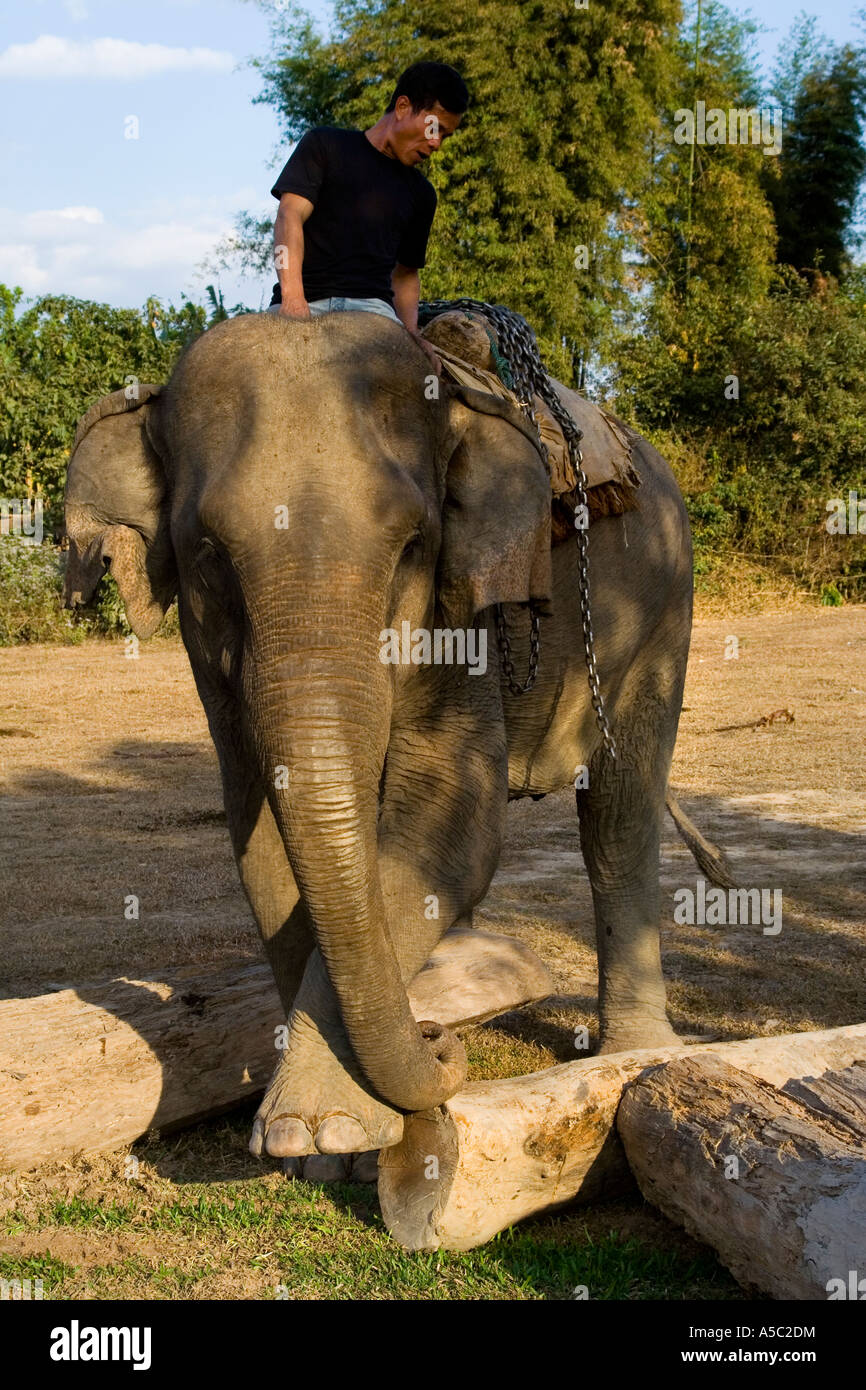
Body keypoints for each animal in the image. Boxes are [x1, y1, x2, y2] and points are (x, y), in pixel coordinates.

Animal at [63, 309, 695, 1166]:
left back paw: (635, 1052)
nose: (436, 1042)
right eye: (209, 555)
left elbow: (451, 821)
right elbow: (263, 842)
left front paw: (323, 1127)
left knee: (621, 814)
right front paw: (326, 1147)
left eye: (412, 548)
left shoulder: (466, 611)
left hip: (665, 600)